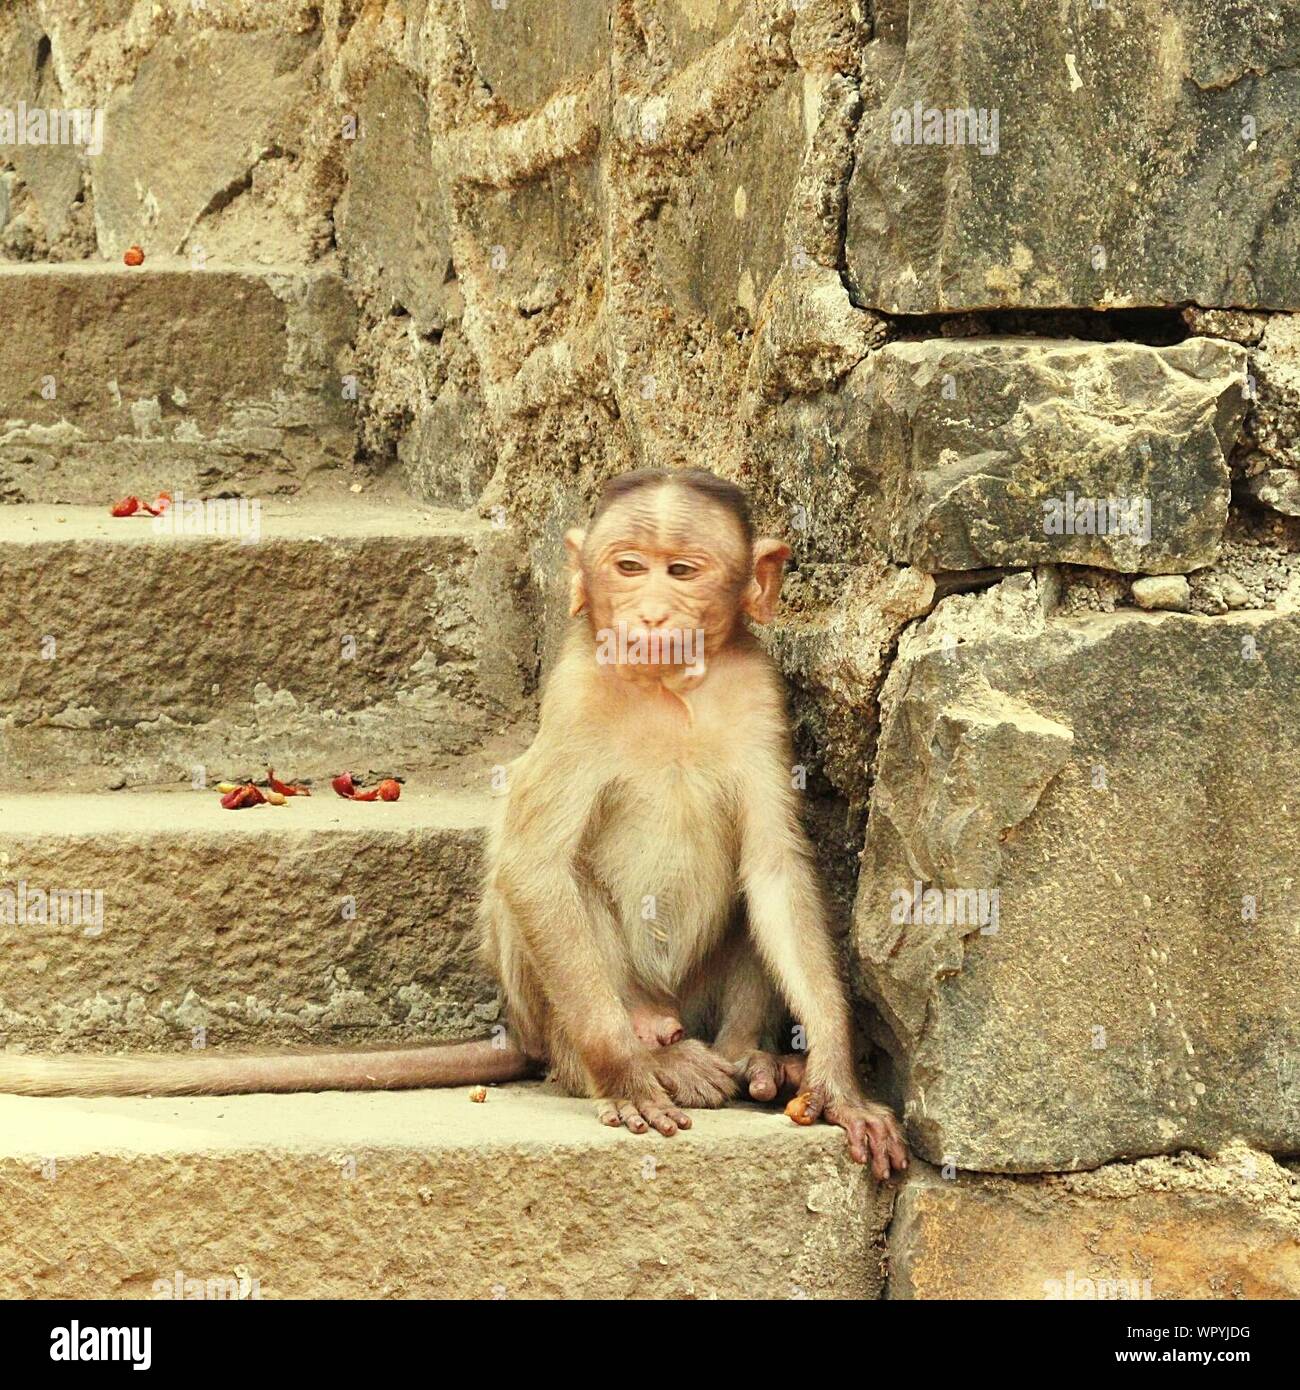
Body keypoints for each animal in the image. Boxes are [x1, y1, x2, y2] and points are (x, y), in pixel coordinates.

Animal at [0, 468, 905, 1179]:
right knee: (548, 890)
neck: (669, 691)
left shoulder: (761, 694)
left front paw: (839, 1082)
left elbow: (777, 866)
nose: (649, 615)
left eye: (682, 570)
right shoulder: (578, 695)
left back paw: (751, 1056)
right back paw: (639, 1053)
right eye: (628, 567)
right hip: (560, 1005)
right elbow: (535, 867)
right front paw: (624, 1076)